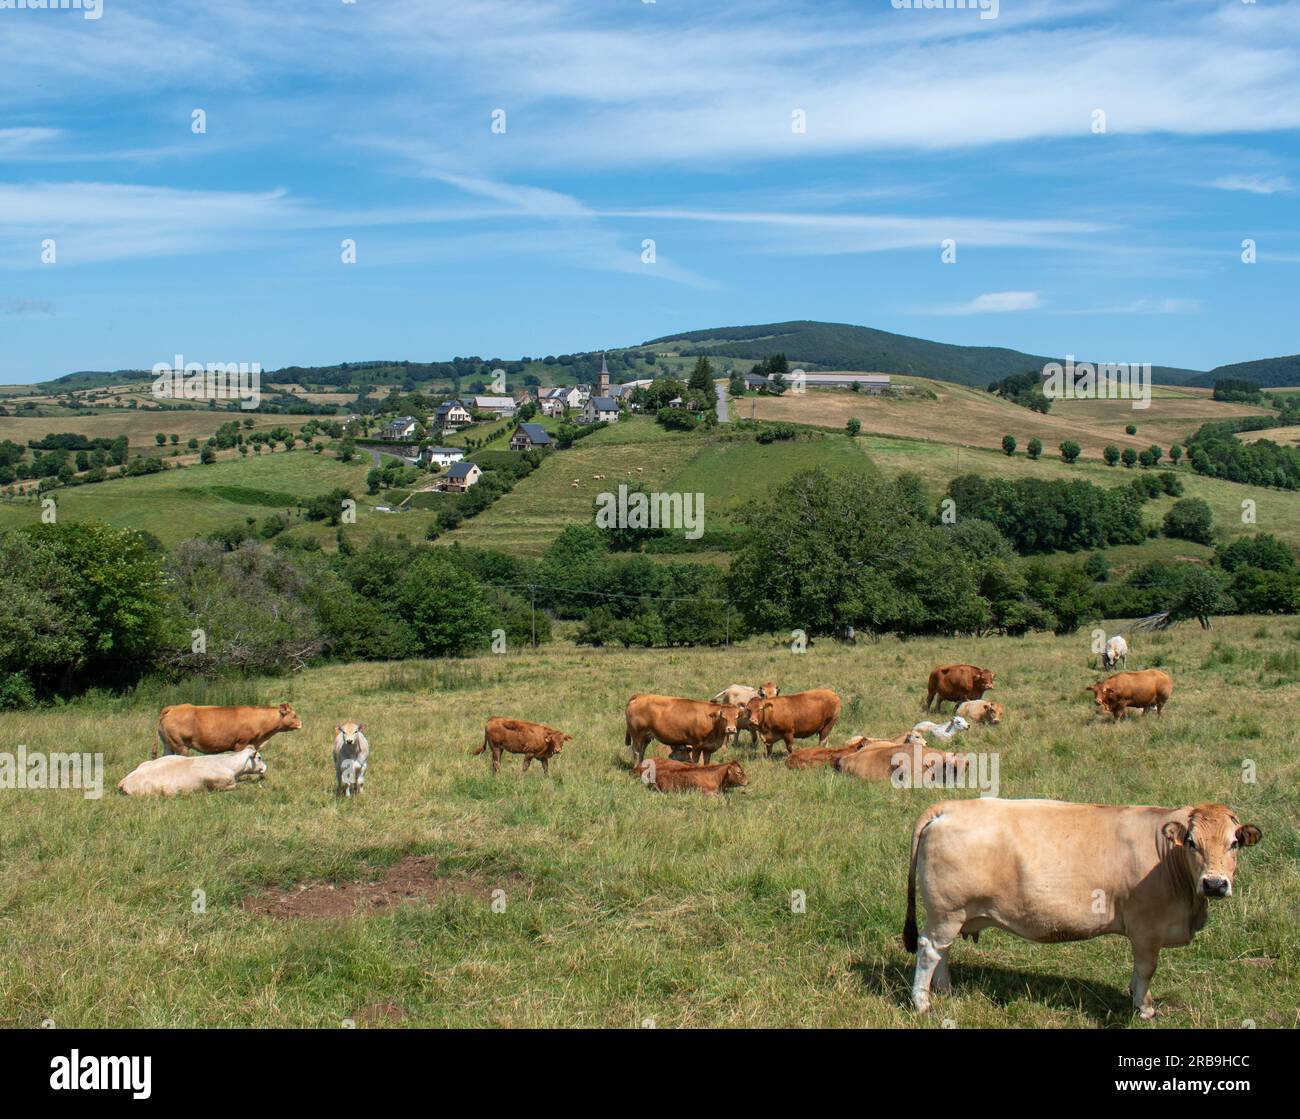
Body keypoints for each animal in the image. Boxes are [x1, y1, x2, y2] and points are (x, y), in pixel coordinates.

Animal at [154, 703, 302, 758]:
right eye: (294, 715)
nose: (301, 723)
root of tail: (173, 708)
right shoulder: (241, 744)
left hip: (168, 745)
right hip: (180, 746)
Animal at [904, 798, 1263, 1019]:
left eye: (1234, 843)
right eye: (1191, 842)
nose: (1214, 884)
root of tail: (950, 807)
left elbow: (1138, 972)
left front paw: (1133, 993)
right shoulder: (1147, 929)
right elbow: (1146, 969)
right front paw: (1144, 1007)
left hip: (953, 914)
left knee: (943, 951)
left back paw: (946, 990)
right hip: (947, 911)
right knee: (929, 949)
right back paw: (922, 1002)